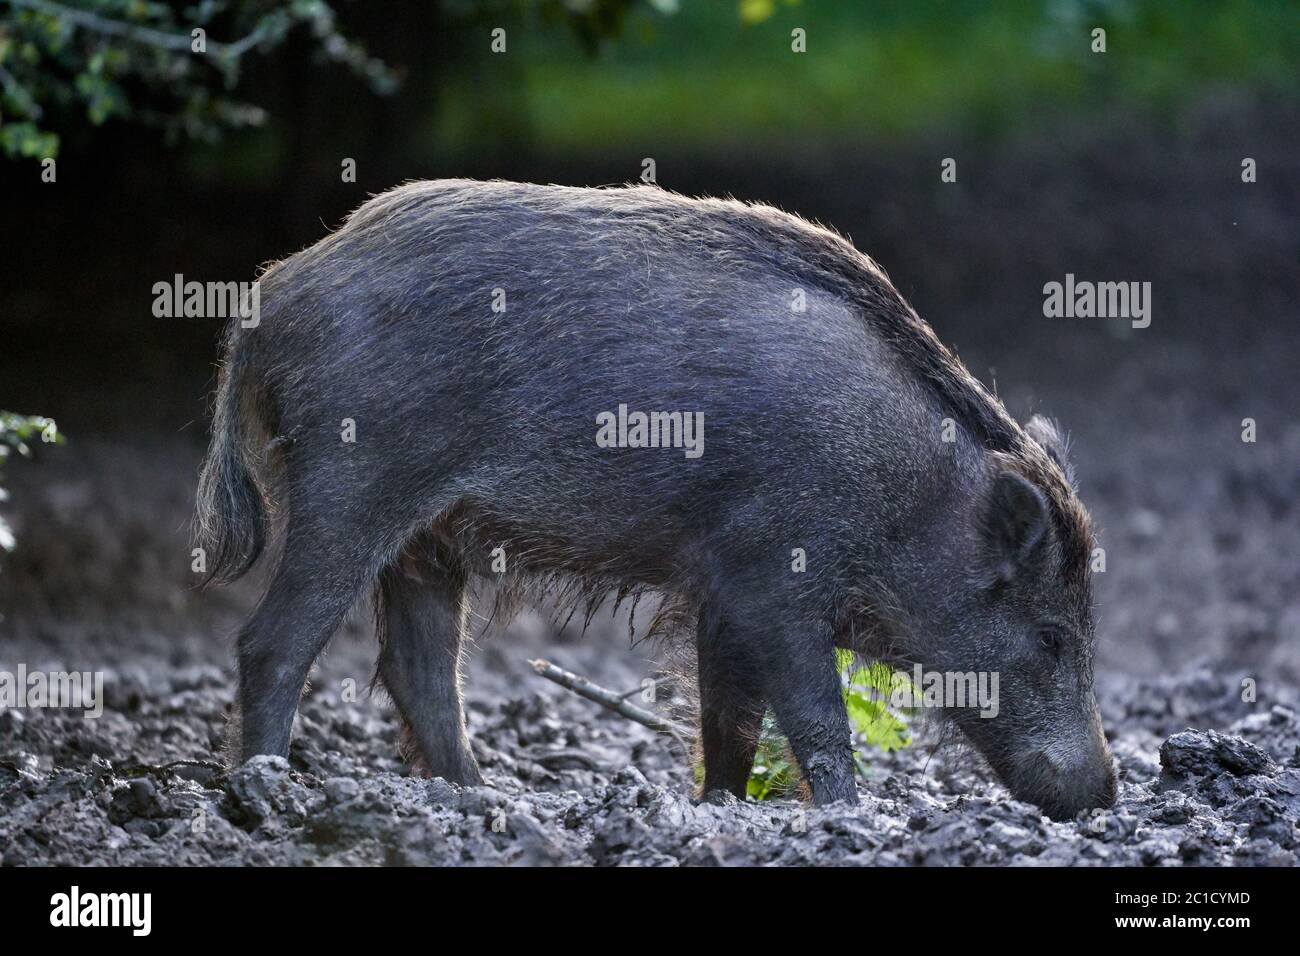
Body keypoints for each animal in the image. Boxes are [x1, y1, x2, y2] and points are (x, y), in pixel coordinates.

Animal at [195, 179, 1117, 818]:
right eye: (1050, 636)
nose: (1104, 793)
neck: (905, 496)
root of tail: (266, 301)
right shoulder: (776, 580)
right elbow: (815, 715)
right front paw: (851, 817)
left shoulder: (725, 592)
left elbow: (731, 717)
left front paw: (722, 807)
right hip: (350, 494)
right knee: (271, 642)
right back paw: (266, 791)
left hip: (430, 538)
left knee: (421, 668)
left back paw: (482, 799)